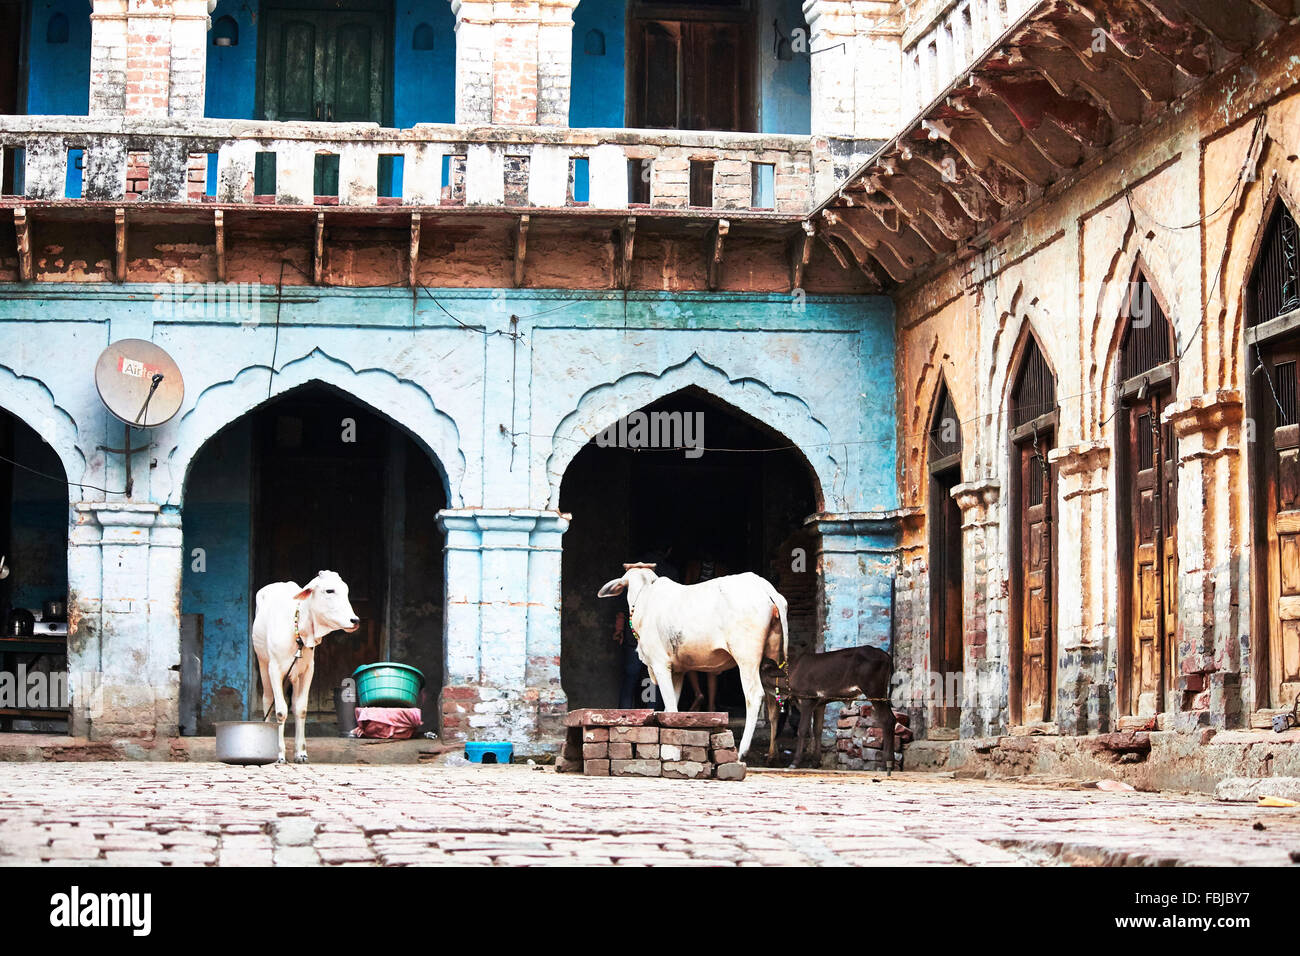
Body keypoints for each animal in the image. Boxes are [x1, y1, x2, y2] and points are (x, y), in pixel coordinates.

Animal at [252, 570, 360, 764]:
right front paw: (279, 754)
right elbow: (280, 711)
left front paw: (301, 753)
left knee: (293, 704)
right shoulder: (275, 669)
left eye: (346, 591)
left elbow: (301, 709)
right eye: (329, 590)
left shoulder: (308, 671)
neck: (299, 631)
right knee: (268, 700)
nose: (354, 620)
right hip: (263, 664)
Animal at [597, 563, 787, 759]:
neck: (645, 596)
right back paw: (772, 754)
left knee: (754, 695)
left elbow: (671, 705)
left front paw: (670, 751)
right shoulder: (678, 671)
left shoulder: (660, 665)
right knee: (774, 704)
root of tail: (764, 587)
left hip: (746, 658)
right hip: (770, 661)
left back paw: (742, 751)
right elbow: (671, 707)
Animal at [760, 645, 897, 772]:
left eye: (760, 667)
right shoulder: (820, 704)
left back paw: (885, 764)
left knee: (887, 720)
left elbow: (802, 729)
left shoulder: (807, 701)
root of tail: (884, 654)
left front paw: (795, 762)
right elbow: (817, 730)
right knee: (891, 719)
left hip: (875, 692)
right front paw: (815, 762)